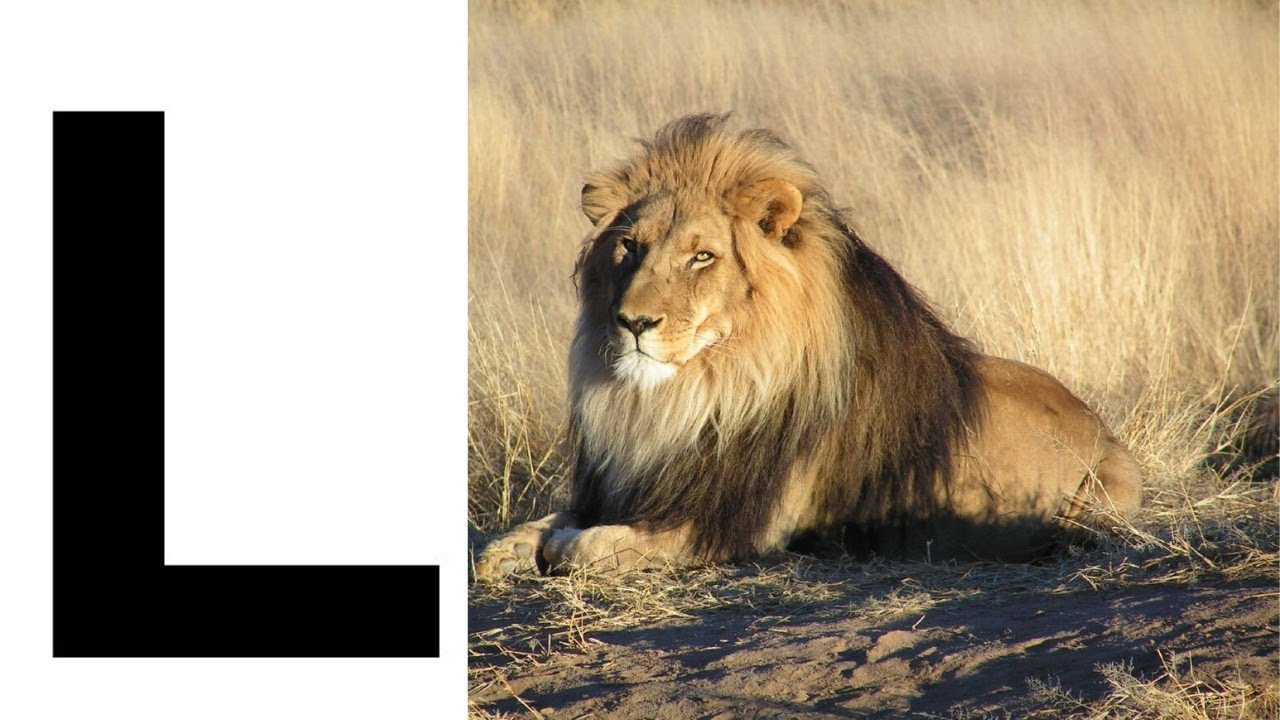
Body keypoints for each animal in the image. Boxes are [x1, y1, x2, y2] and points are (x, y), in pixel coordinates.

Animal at [474, 113, 1141, 579]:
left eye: (702, 256)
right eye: (629, 247)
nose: (633, 322)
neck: (692, 396)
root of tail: (1102, 425)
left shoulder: (732, 526)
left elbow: (587, 546)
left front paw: (560, 546)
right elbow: (540, 524)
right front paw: (507, 550)